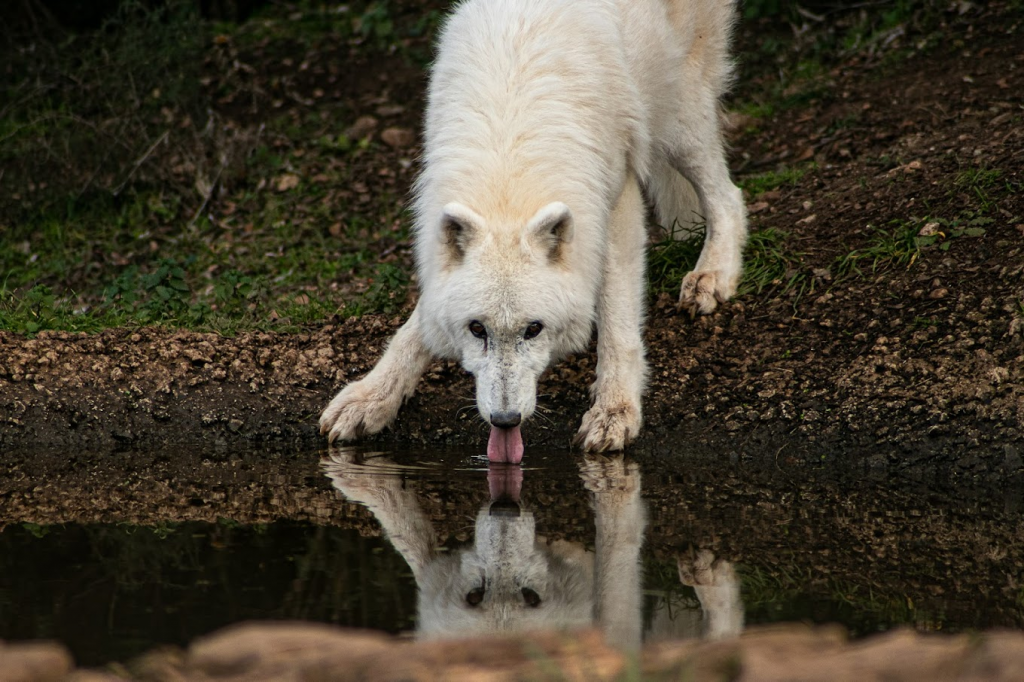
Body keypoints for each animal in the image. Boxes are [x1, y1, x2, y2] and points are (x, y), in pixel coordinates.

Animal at [320, 0, 747, 460]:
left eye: (533, 329)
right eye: (477, 329)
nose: (505, 420)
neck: (510, 163)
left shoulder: (616, 202)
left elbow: (618, 322)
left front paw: (614, 409)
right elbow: (414, 328)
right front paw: (370, 397)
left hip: (674, 113)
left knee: (728, 195)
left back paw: (712, 274)